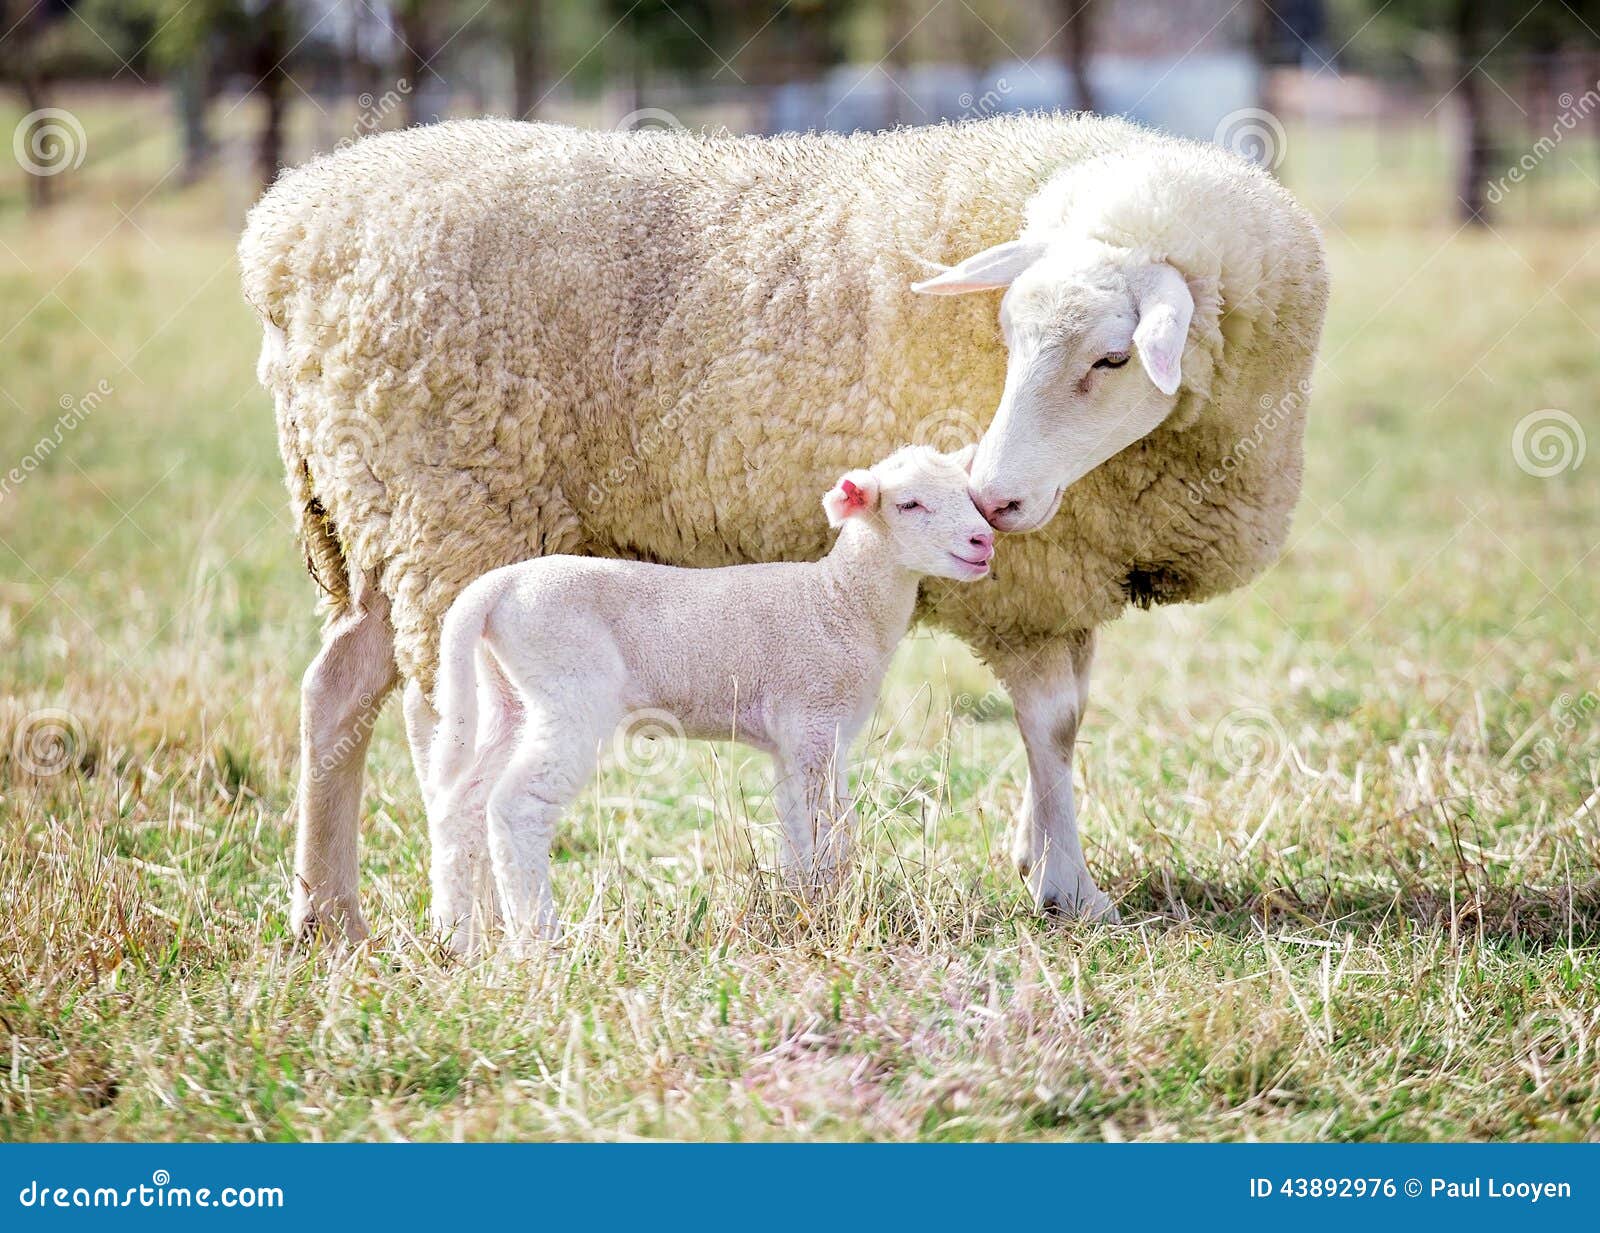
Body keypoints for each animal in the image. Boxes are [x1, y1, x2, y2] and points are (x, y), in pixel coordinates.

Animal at [420, 445, 992, 950]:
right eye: (909, 504)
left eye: (969, 495)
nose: (982, 541)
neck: (839, 600)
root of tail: (497, 587)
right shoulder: (815, 721)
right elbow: (830, 825)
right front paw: (834, 908)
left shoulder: (793, 740)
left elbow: (795, 827)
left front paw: (801, 908)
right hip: (569, 686)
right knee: (517, 805)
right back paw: (538, 942)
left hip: (509, 697)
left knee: (462, 804)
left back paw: (458, 939)